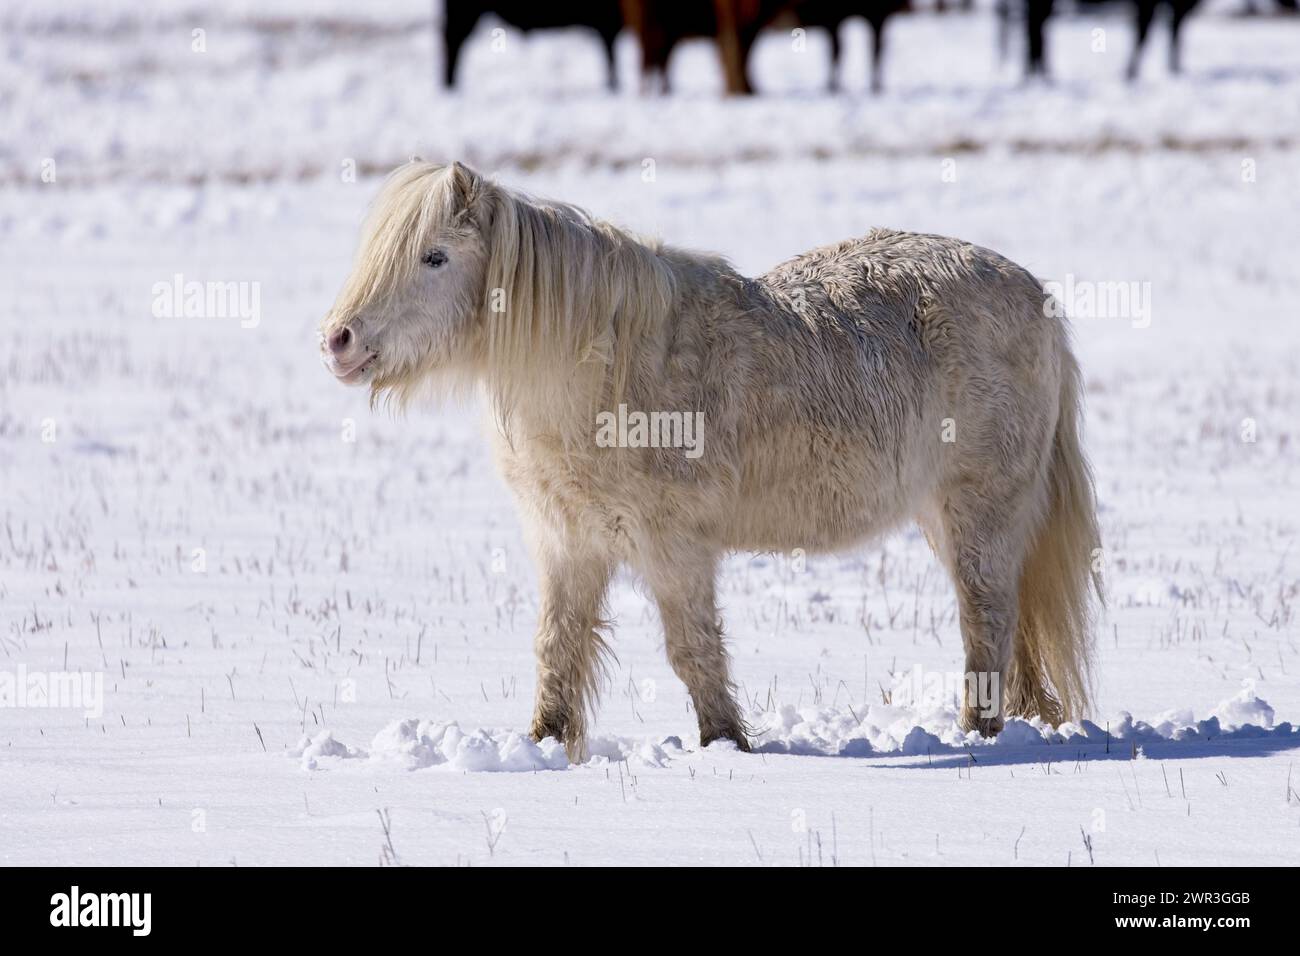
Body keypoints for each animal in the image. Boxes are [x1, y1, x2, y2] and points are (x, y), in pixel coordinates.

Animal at [319, 161, 1103, 759]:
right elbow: (556, 651)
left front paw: (726, 746)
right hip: (949, 517)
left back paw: (979, 737)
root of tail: (1034, 294)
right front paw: (540, 748)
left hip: (979, 512)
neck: (605, 371)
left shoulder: (675, 550)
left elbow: (693, 653)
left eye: (434, 257)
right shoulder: (568, 545)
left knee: (986, 621)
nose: (339, 340)